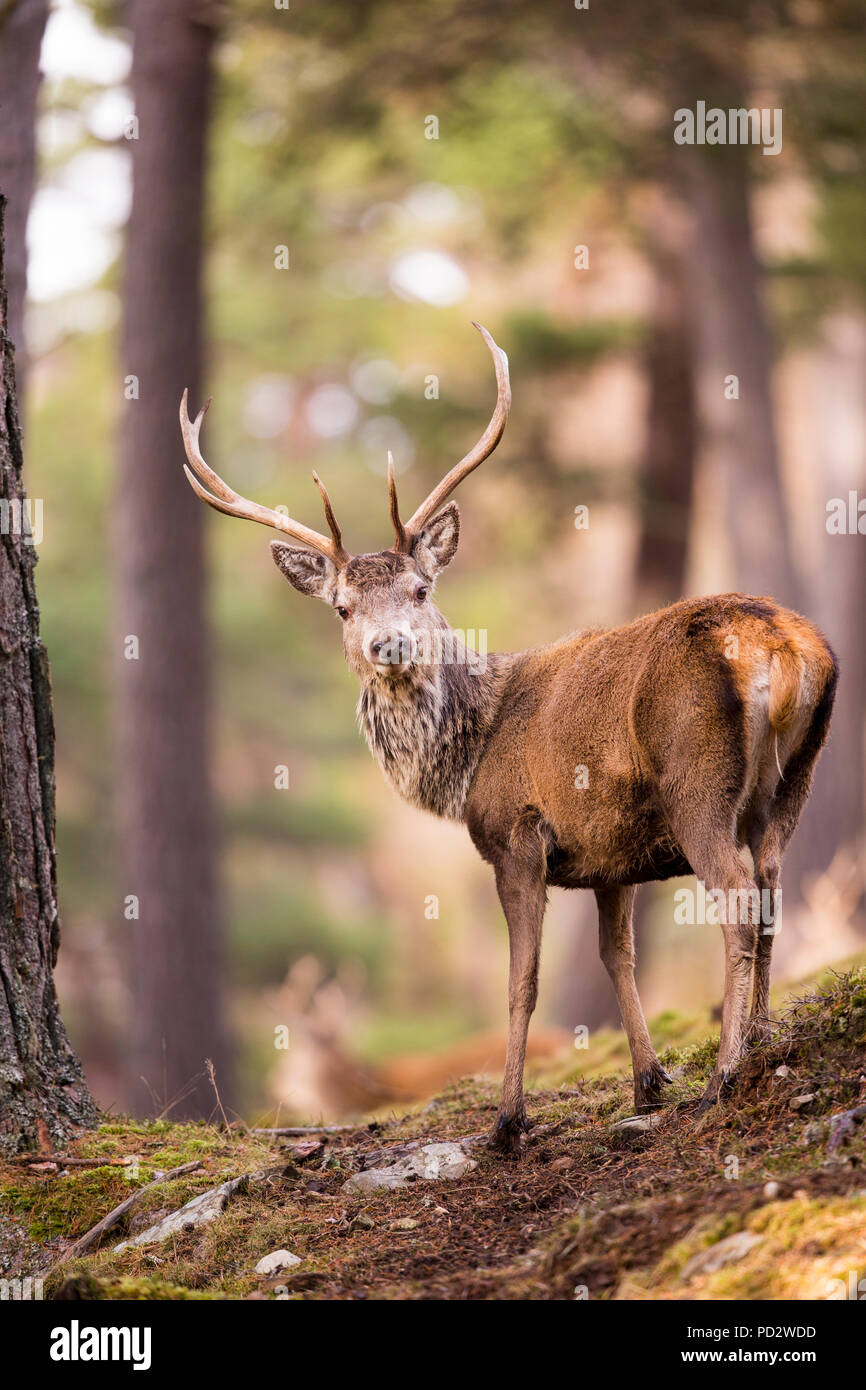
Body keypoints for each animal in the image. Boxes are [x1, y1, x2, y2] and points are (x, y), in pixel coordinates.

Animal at [180, 322, 838, 1155]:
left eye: (421, 589)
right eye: (341, 607)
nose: (388, 645)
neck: (467, 755)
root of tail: (782, 645)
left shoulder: (516, 835)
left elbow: (522, 983)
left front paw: (507, 1120)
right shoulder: (610, 853)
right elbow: (616, 957)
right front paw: (648, 1082)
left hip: (699, 786)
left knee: (739, 898)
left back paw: (724, 1071)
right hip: (796, 778)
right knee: (777, 886)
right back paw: (761, 1040)